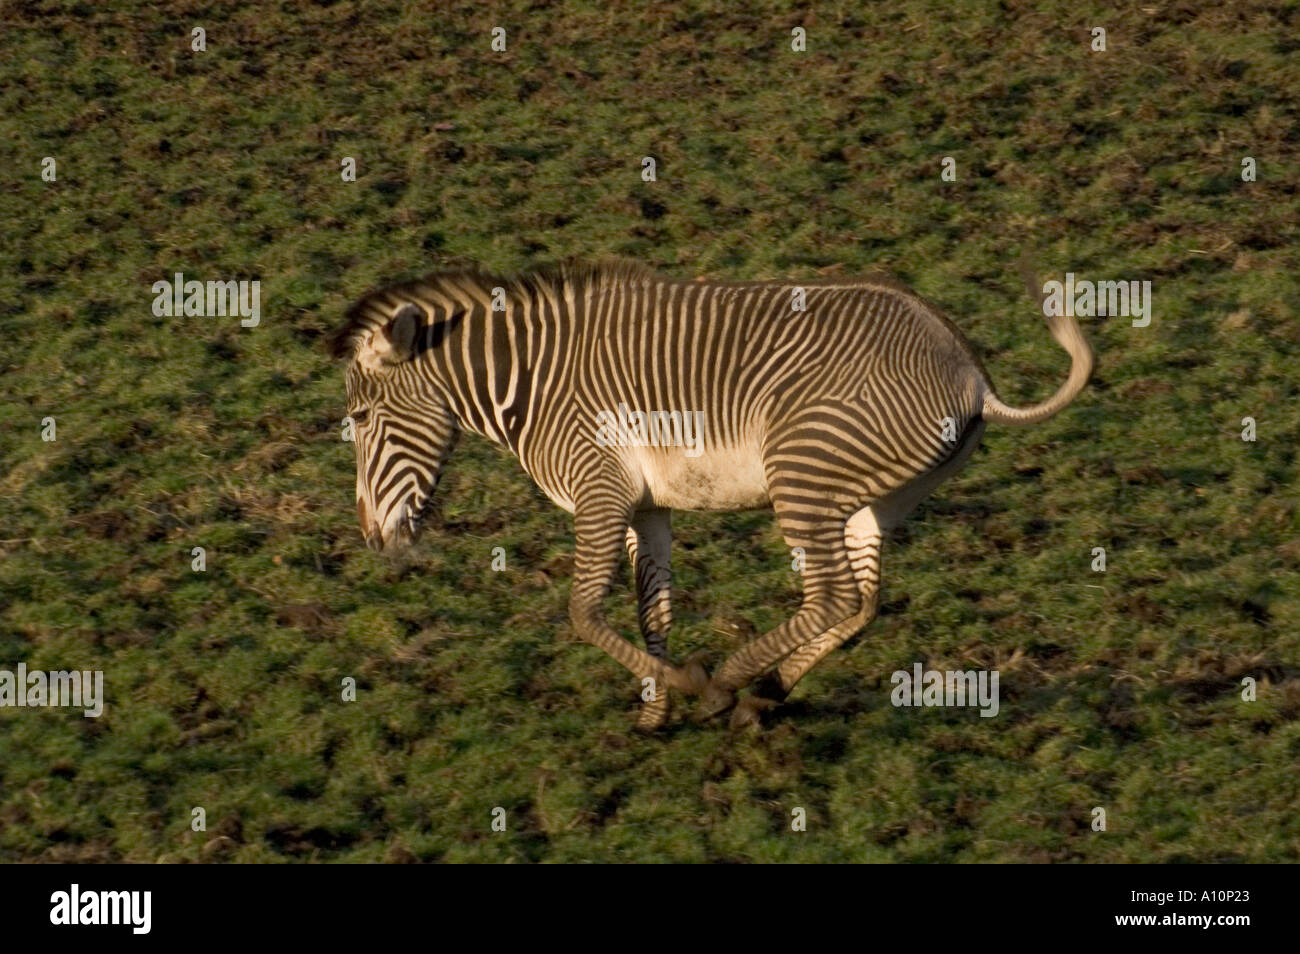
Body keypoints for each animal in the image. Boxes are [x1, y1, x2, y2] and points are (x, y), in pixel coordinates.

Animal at [330, 260, 1091, 730]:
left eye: (361, 419)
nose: (371, 538)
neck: (535, 385)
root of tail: (971, 374)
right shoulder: (645, 506)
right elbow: (652, 609)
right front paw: (653, 714)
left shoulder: (599, 491)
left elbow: (583, 613)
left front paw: (688, 687)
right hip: (874, 501)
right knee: (862, 605)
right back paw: (767, 694)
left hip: (802, 473)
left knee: (833, 598)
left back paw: (731, 683)